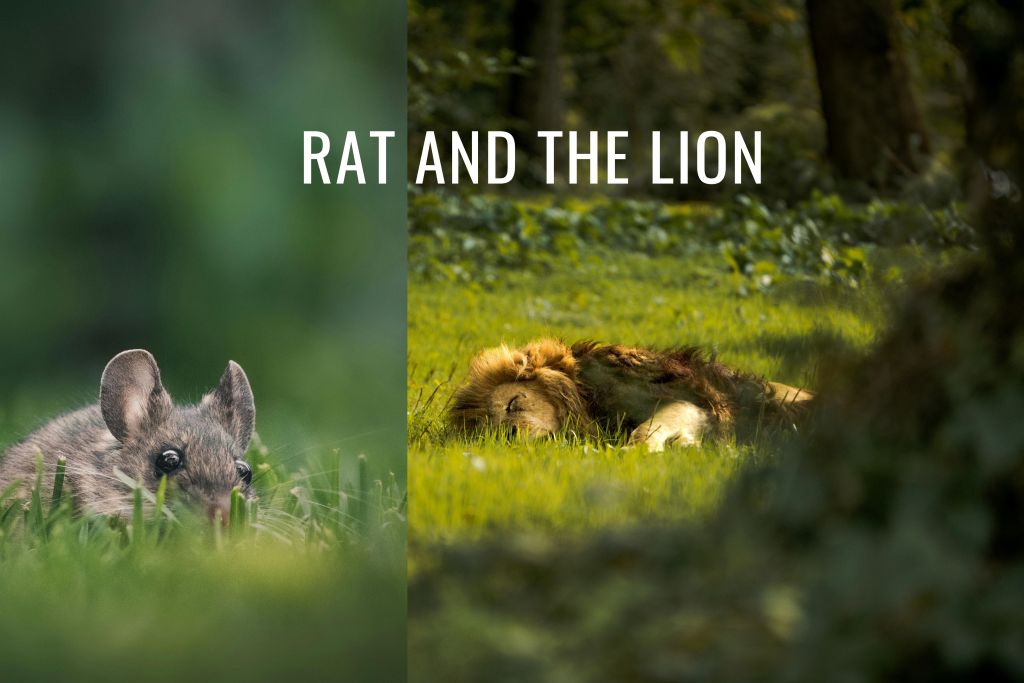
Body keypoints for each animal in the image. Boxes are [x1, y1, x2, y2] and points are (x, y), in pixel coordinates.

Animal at [448, 338, 813, 451]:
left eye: (513, 403)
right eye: (491, 432)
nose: (509, 434)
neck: (590, 402)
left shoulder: (700, 399)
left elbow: (646, 428)